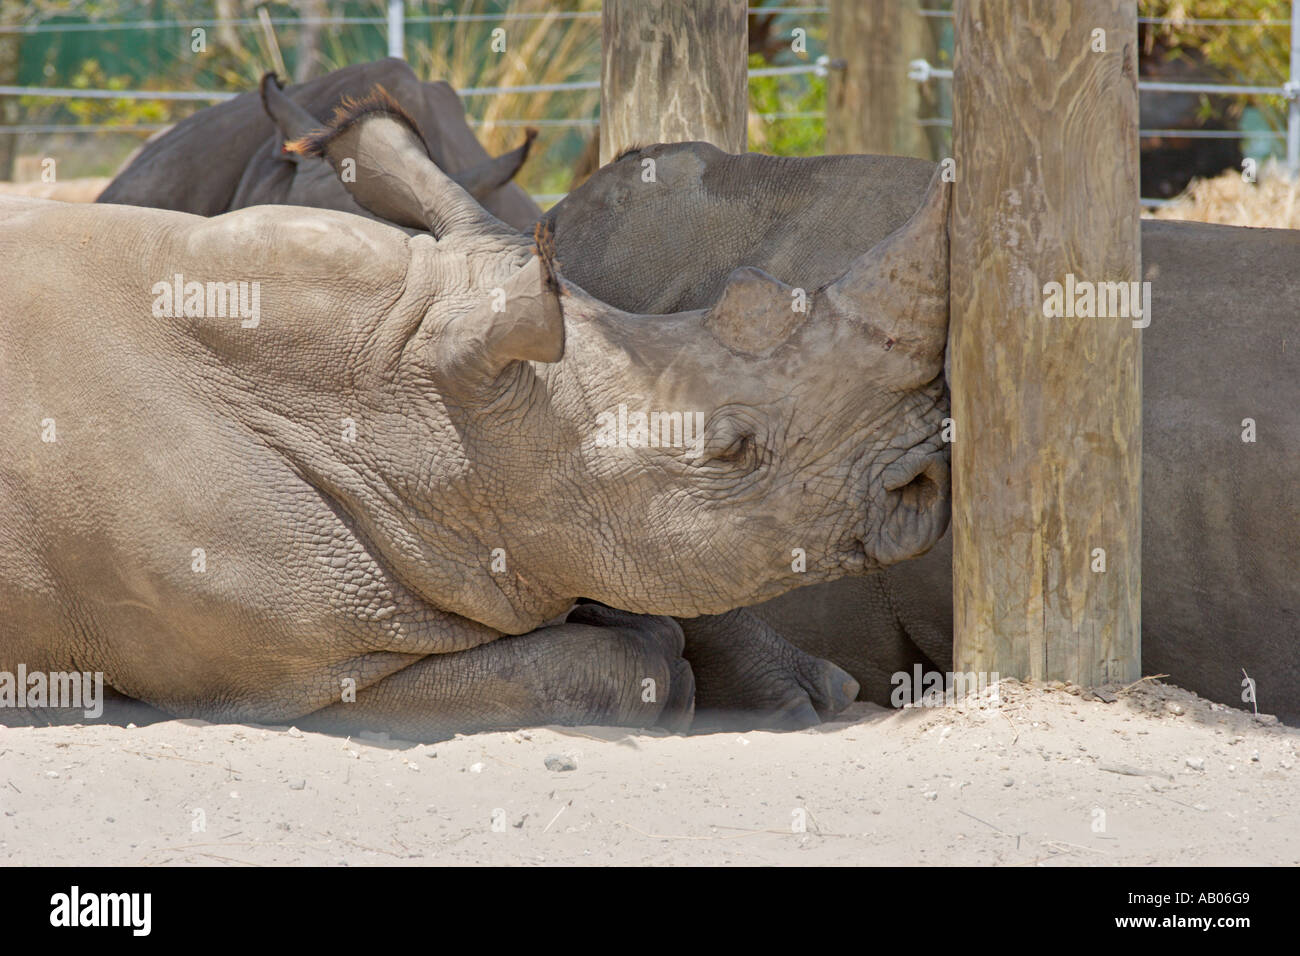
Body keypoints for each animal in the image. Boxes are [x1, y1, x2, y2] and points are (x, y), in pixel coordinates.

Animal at [0, 98, 954, 739]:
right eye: (729, 450)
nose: (921, 480)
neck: (395, 395)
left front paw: (812, 695)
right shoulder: (304, 675)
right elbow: (624, 663)